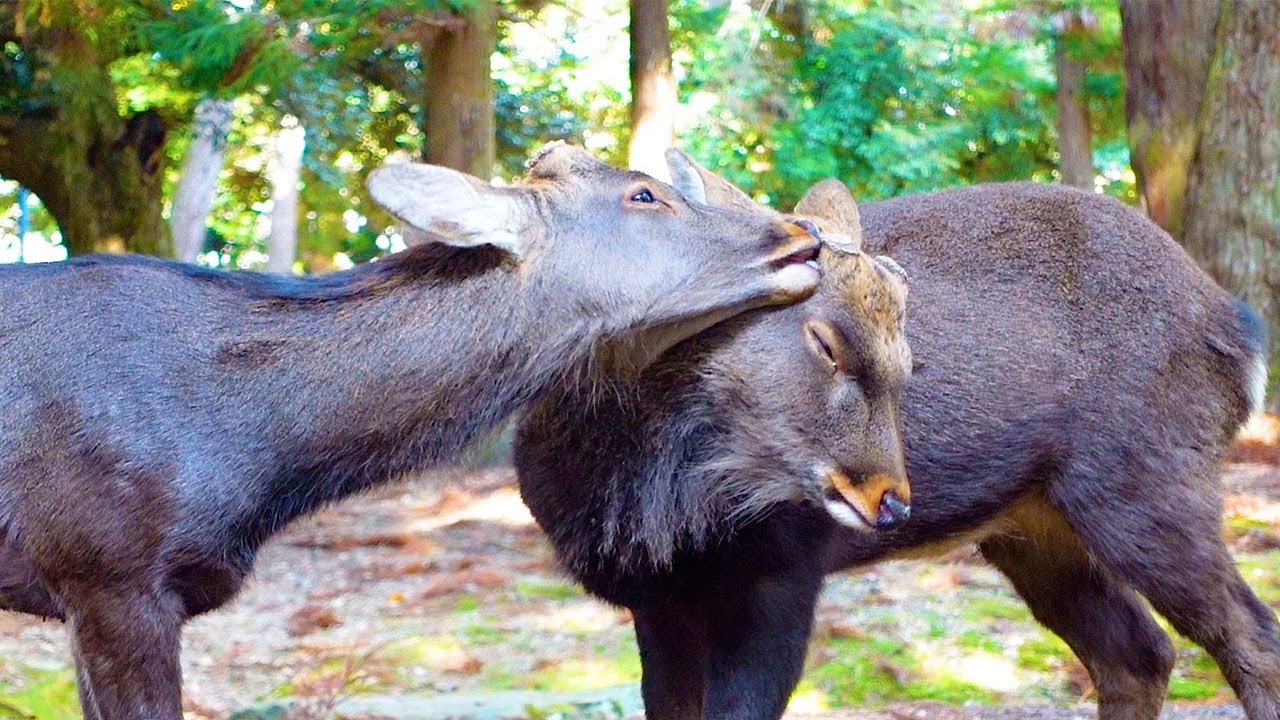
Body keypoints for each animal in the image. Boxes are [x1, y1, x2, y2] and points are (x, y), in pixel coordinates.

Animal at [514, 150, 1276, 720]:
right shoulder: (659, 597)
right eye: (824, 342)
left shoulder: (782, 569)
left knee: (1249, 635)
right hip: (1031, 526)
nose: (891, 501)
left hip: (1145, 482)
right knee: (1137, 653)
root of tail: (1237, 331)